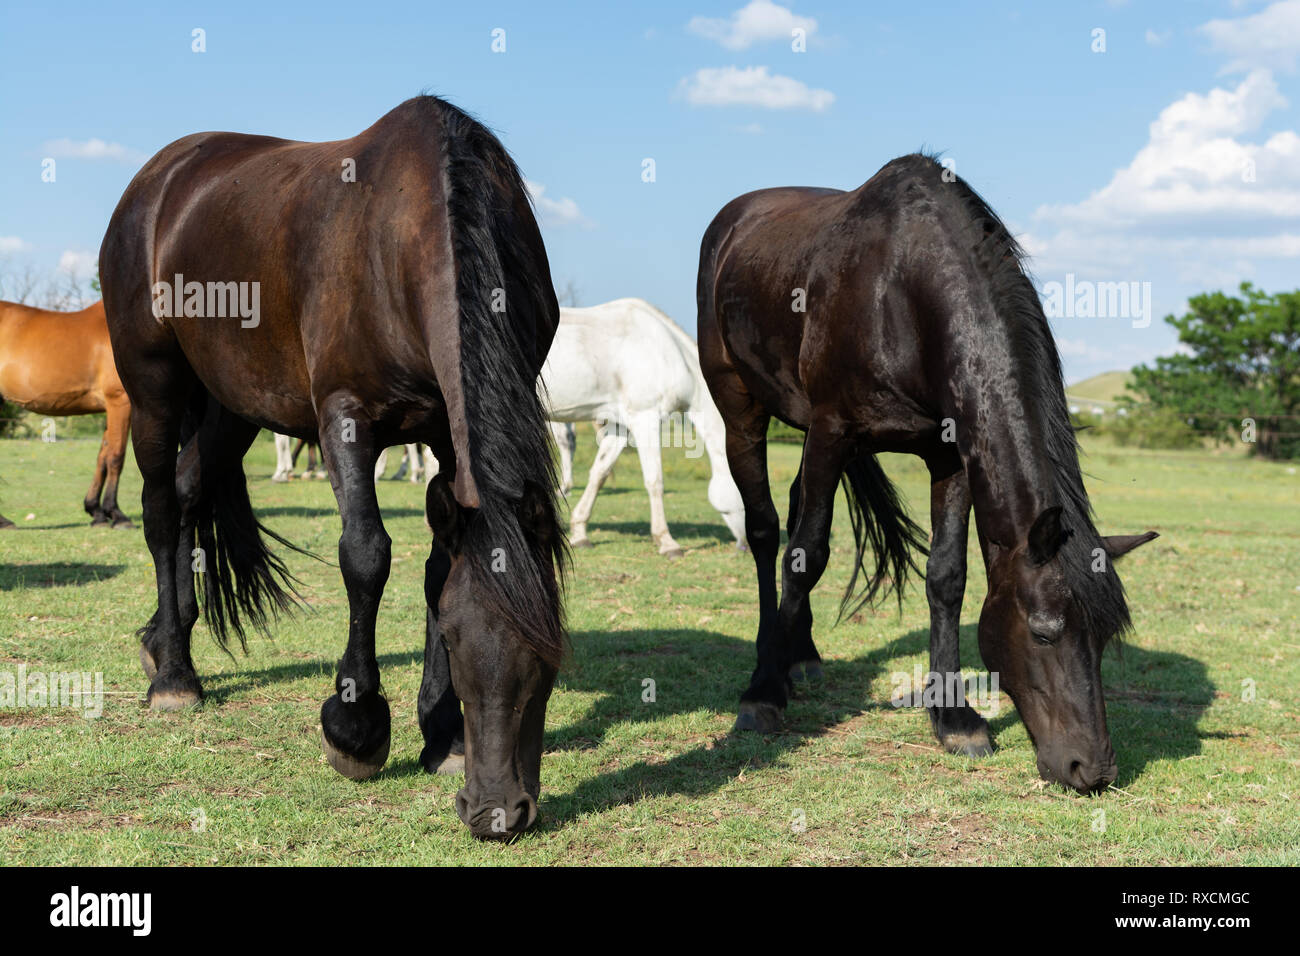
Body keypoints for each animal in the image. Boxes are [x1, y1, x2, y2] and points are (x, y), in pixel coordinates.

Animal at [0, 299, 133, 528]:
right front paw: (117, 515)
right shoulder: (120, 401)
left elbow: (102, 457)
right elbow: (116, 457)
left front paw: (96, 512)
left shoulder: (110, 407)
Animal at [99, 95, 565, 839]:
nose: (497, 811)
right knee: (160, 506)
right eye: (459, 643)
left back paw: (161, 640)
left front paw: (441, 735)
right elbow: (366, 555)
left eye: (550, 657)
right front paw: (356, 729)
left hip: (235, 404)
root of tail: (158, 178)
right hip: (153, 388)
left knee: (191, 490)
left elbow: (438, 566)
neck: (408, 233)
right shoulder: (346, 417)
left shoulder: (446, 431)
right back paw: (173, 676)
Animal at [540, 298, 746, 556]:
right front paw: (667, 542)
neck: (665, 350)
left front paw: (580, 533)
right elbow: (654, 480)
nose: (746, 545)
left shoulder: (620, 426)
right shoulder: (645, 419)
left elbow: (599, 473)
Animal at [697, 154, 1158, 794]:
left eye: (1106, 637)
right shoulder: (832, 430)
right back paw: (772, 665)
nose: (1093, 770)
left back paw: (802, 654)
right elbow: (807, 555)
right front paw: (763, 697)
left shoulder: (951, 456)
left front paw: (954, 718)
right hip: (741, 407)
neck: (901, 291)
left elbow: (947, 577)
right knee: (767, 532)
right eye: (1045, 632)